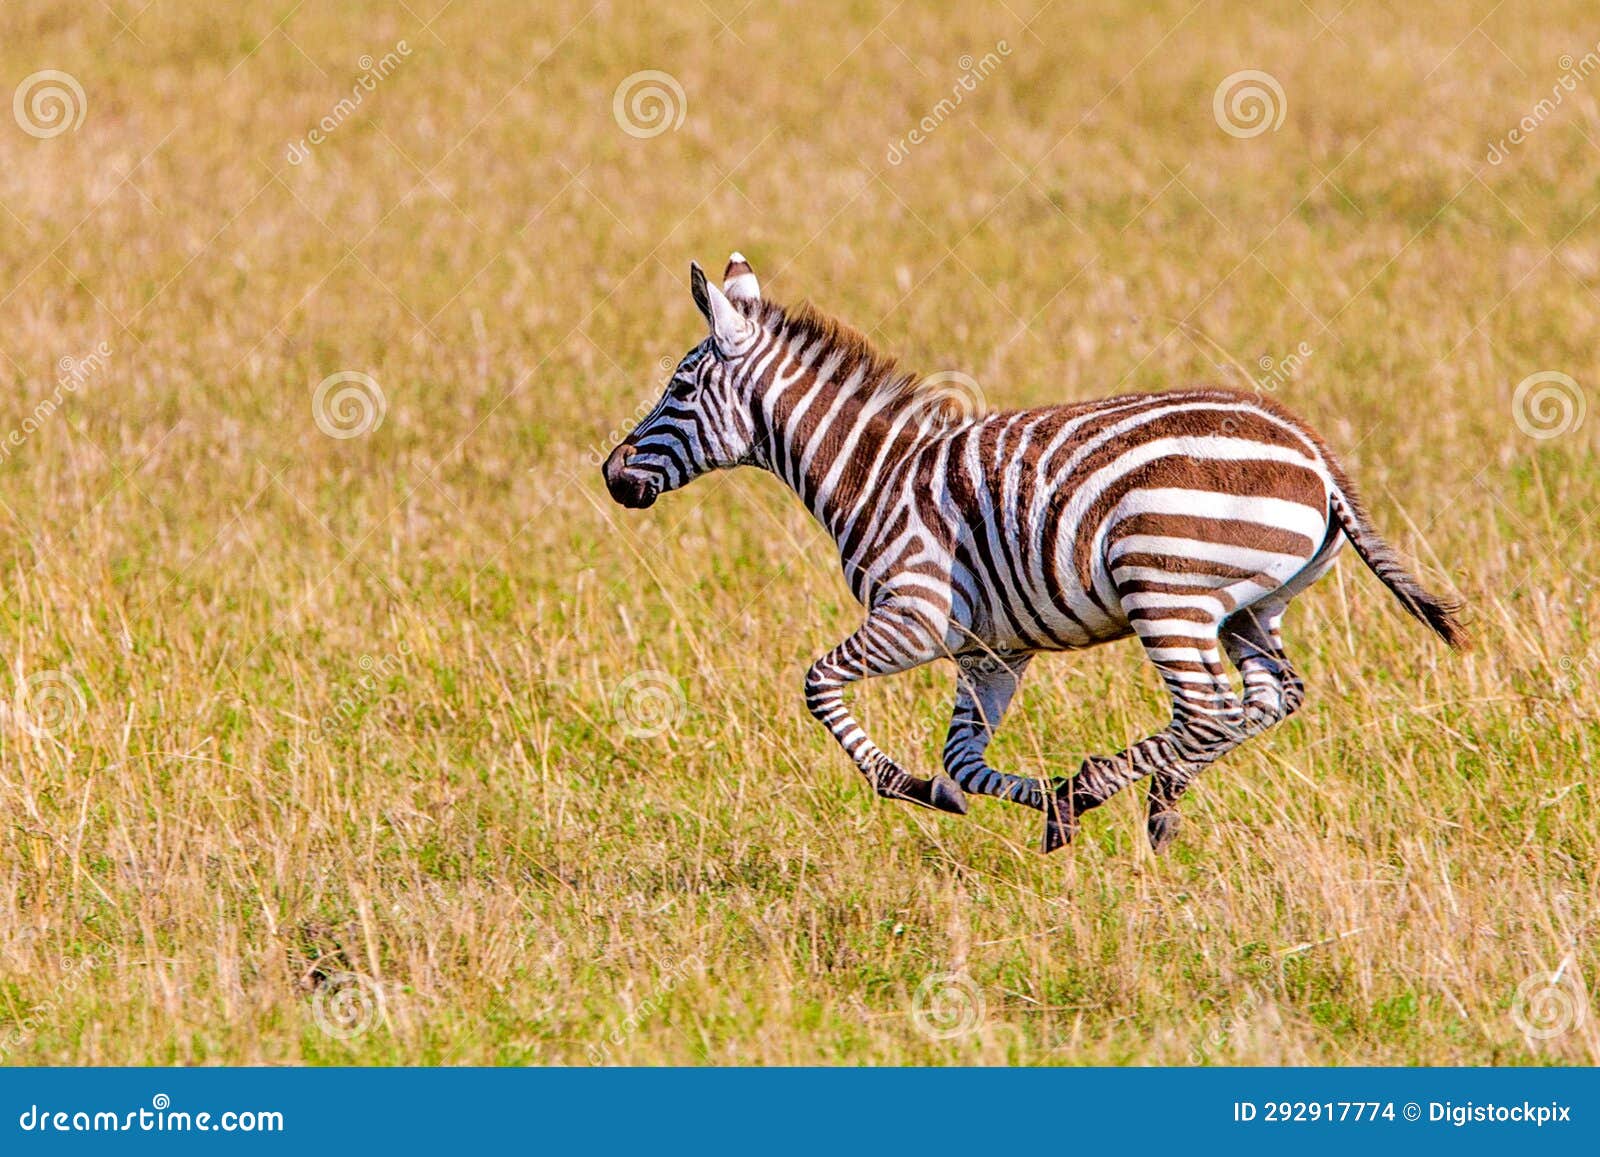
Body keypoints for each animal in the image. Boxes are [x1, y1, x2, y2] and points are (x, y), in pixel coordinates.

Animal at [602, 253, 1466, 854]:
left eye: (681, 389)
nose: (612, 474)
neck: (873, 473)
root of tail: (1314, 453)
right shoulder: (991, 650)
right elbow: (962, 760)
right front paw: (1023, 804)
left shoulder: (915, 614)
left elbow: (817, 685)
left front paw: (910, 783)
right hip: (1254, 607)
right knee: (1270, 698)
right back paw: (1150, 794)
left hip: (1166, 589)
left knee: (1212, 707)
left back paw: (1108, 783)